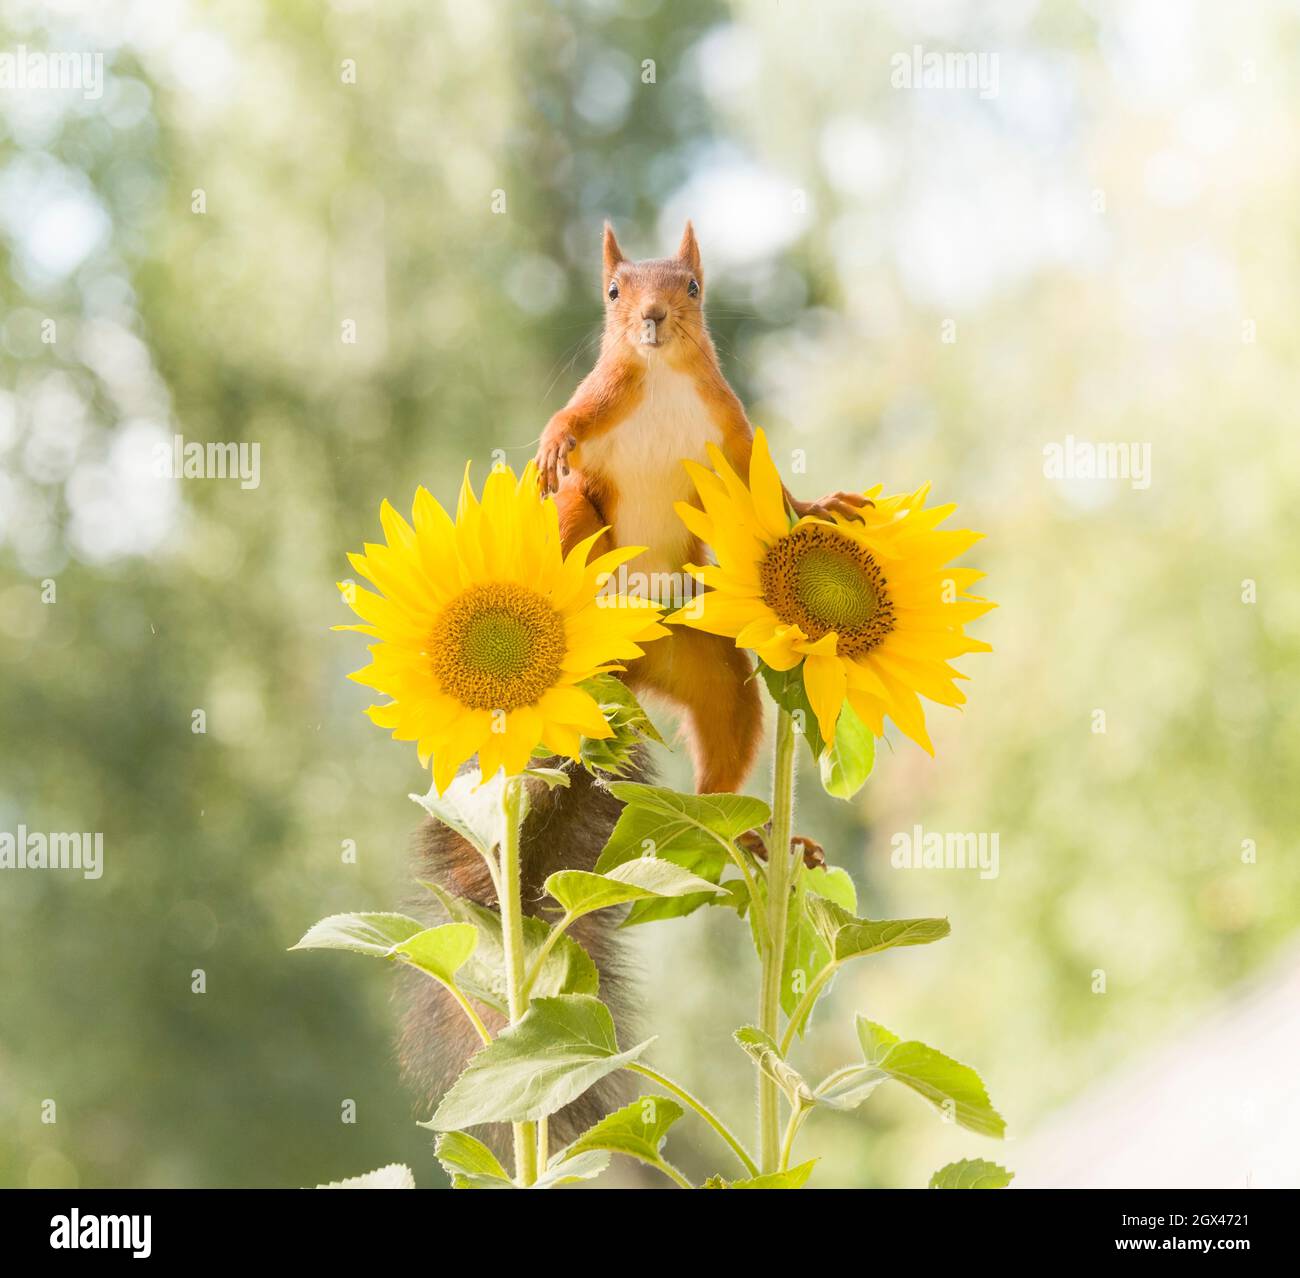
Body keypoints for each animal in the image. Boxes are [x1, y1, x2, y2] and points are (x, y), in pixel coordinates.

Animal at [399, 223, 861, 1149]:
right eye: (613, 292)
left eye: (692, 286)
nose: (650, 320)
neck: (661, 381)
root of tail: (626, 664)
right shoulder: (599, 400)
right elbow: (570, 427)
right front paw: (548, 443)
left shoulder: (732, 430)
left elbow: (773, 493)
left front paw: (816, 505)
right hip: (597, 540)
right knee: (576, 516)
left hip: (709, 670)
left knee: (724, 747)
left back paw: (754, 839)